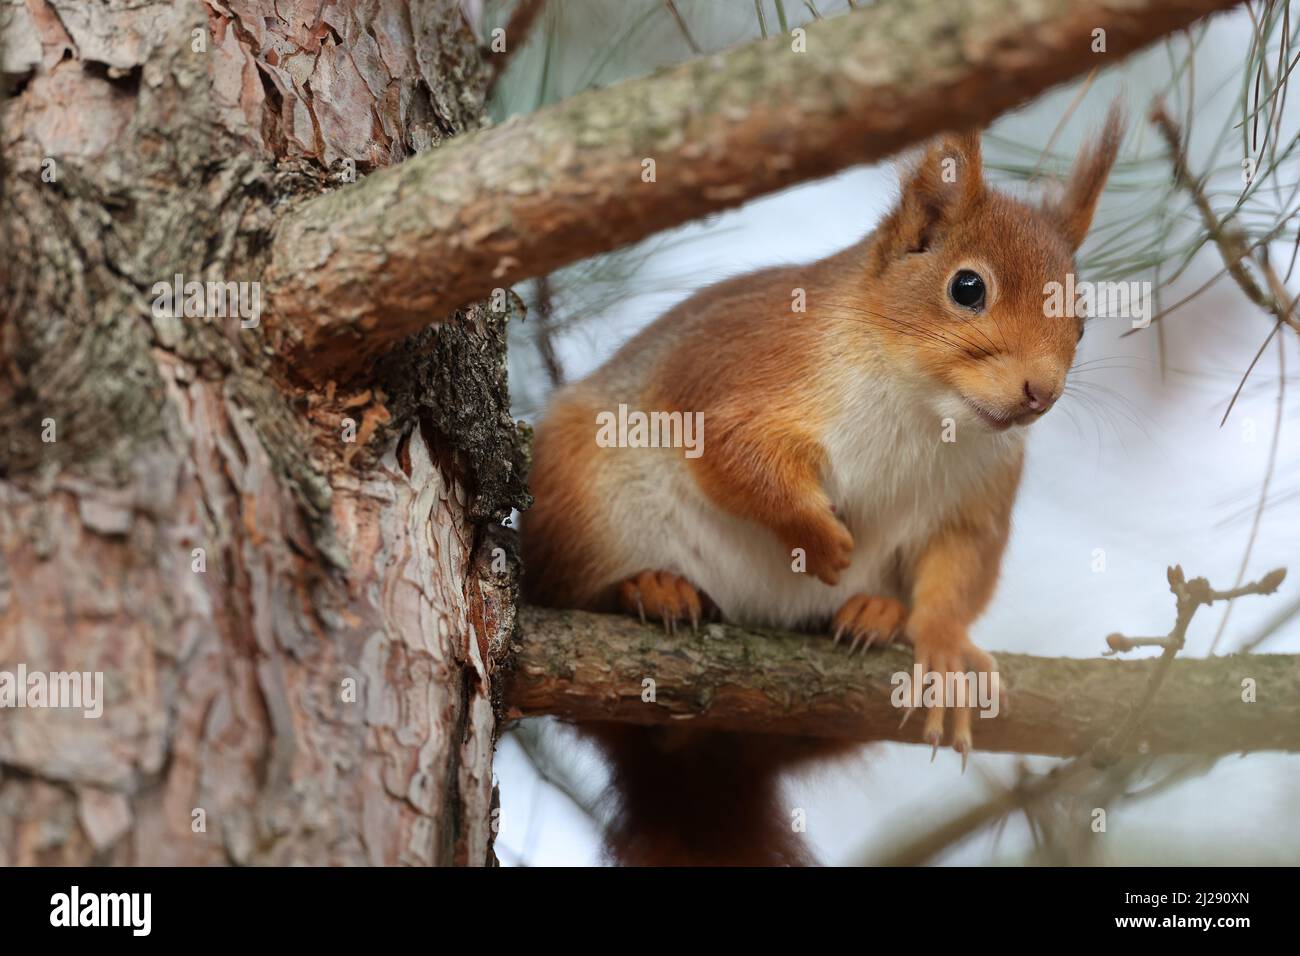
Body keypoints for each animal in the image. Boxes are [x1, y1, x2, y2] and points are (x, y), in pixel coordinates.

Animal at [521, 109, 1124, 865]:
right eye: (967, 288)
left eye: (1083, 320)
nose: (1039, 393)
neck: (924, 406)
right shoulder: (739, 372)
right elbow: (734, 458)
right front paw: (821, 538)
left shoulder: (976, 497)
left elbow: (961, 569)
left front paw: (944, 647)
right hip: (581, 498)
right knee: (570, 599)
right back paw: (650, 588)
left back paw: (877, 615)